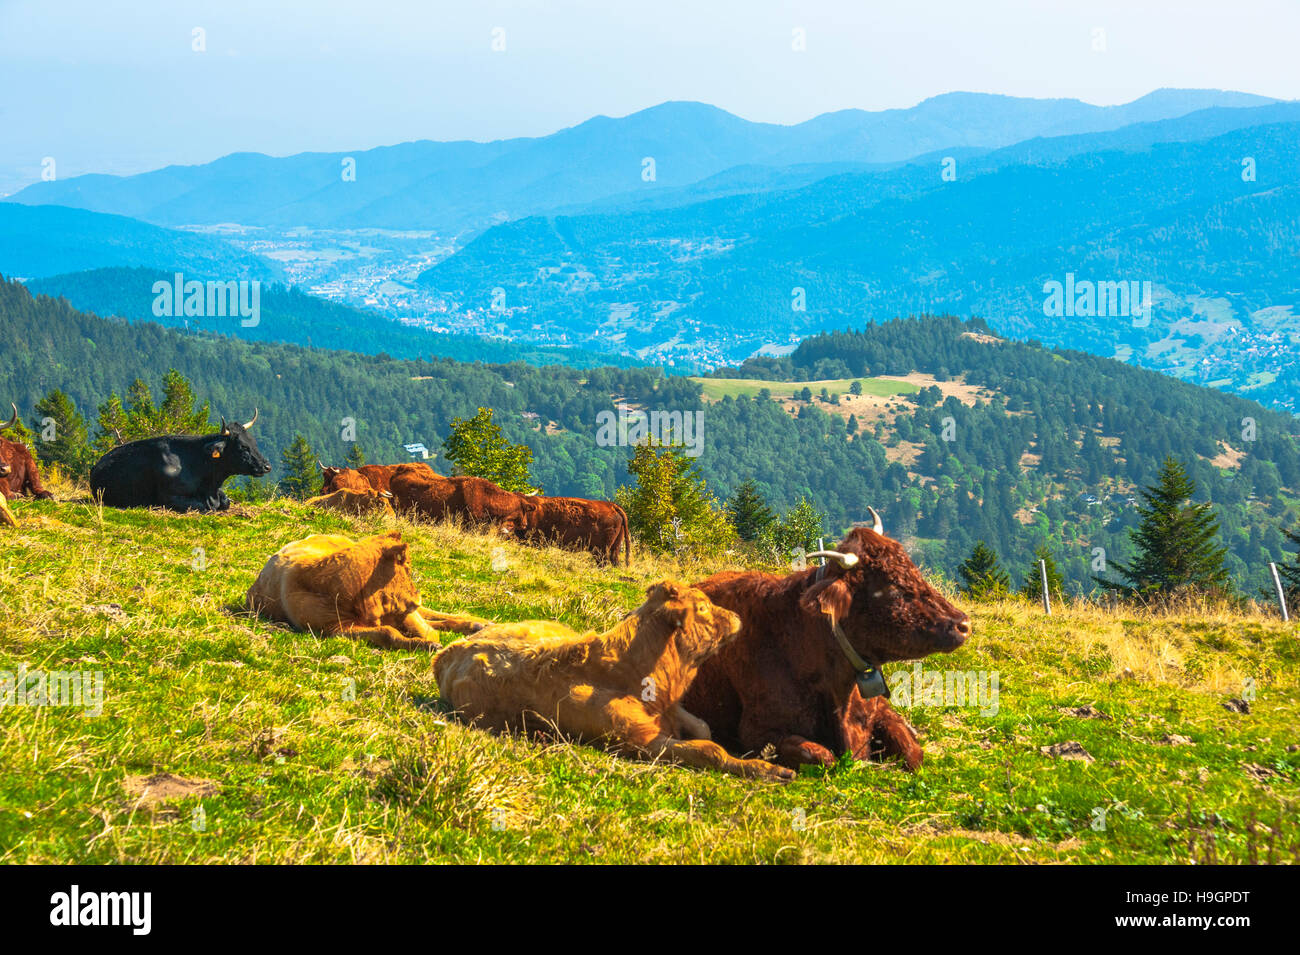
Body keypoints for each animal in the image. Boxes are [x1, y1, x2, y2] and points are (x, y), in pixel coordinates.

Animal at [89, 410, 271, 512]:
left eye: (254, 442)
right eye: (242, 447)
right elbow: (204, 507)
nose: (267, 466)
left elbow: (225, 502)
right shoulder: (169, 497)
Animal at [246, 530, 490, 651]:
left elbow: (423, 628)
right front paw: (426, 645)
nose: (417, 597)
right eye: (407, 567)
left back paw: (478, 623)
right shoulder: (333, 628)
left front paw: (430, 640)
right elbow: (387, 633)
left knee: (432, 615)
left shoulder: (400, 607)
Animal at [434, 581, 793, 781]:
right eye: (703, 607)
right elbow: (709, 749)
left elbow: (703, 728)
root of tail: (455, 648)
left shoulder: (672, 709)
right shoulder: (641, 742)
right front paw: (769, 771)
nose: (736, 616)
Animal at [683, 509, 971, 773]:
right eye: (891, 587)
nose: (963, 624)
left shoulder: (880, 709)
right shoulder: (756, 730)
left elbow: (912, 750)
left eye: (913, 569)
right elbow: (822, 756)